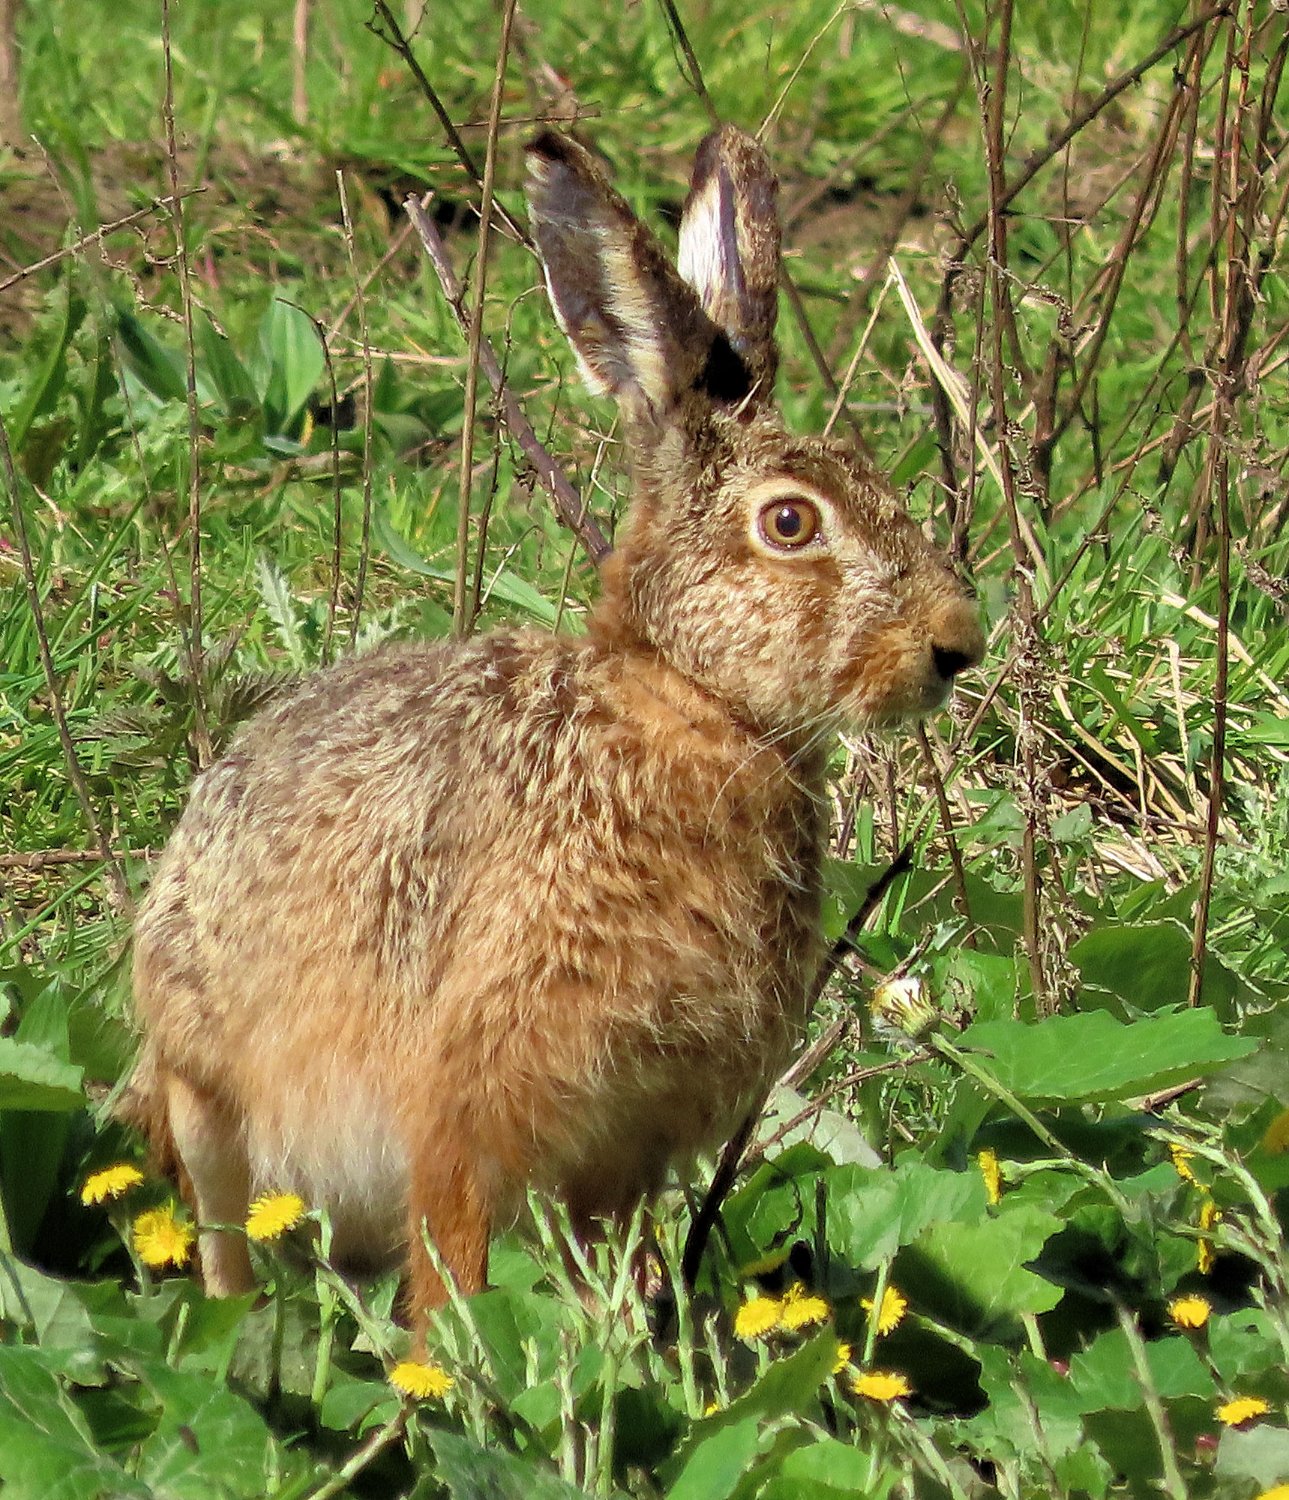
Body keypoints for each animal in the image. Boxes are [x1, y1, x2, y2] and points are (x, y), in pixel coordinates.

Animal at [124, 125, 985, 1339]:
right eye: (789, 523)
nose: (956, 645)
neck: (691, 704)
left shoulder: (633, 1135)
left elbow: (606, 1253)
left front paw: (623, 1344)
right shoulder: (471, 1088)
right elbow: (453, 1246)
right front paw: (455, 1359)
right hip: (207, 1087)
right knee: (219, 1229)